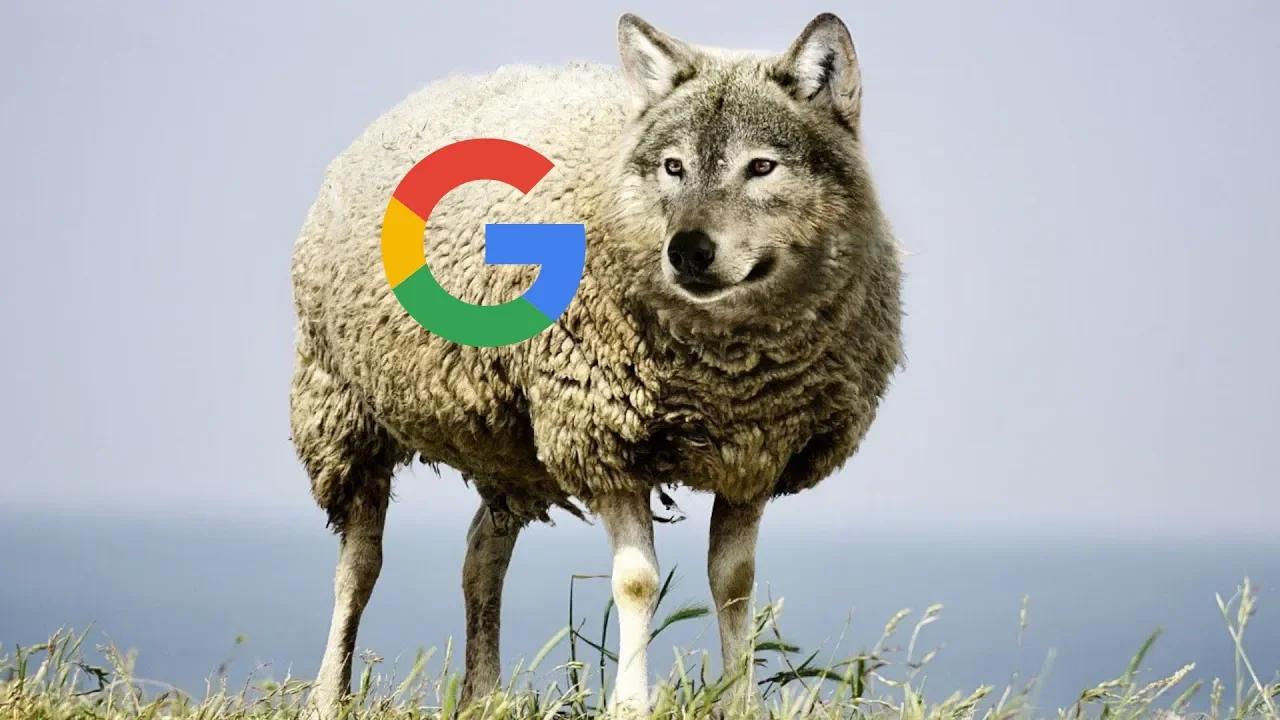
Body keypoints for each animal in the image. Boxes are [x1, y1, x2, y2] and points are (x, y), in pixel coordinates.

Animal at [290, 12, 902, 717]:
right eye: (672, 166)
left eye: (763, 166)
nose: (687, 251)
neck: (725, 372)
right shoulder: (602, 438)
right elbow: (637, 583)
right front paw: (631, 704)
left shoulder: (753, 455)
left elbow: (735, 582)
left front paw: (740, 699)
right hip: (343, 410)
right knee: (359, 565)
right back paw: (328, 694)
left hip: (509, 449)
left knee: (482, 556)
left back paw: (483, 694)